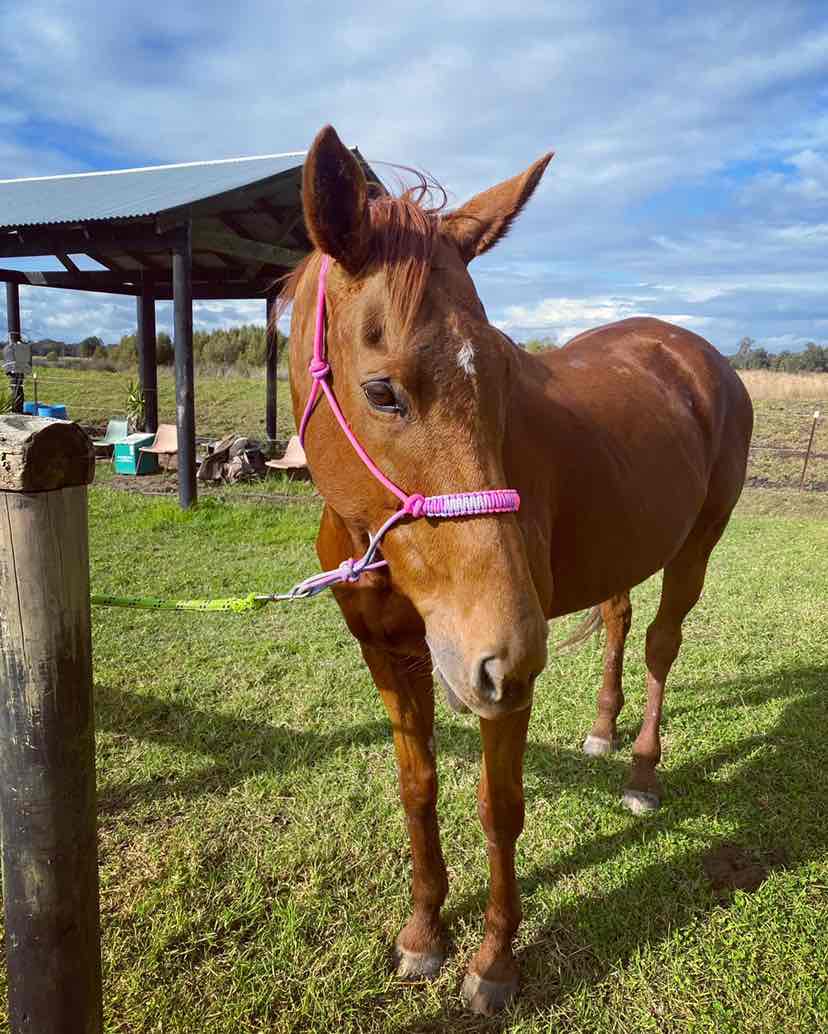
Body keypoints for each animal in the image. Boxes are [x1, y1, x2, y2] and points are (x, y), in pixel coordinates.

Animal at [280, 125, 753, 1015]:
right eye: (382, 392)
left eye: (503, 372)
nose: (506, 654)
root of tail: (696, 352)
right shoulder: (391, 657)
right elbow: (419, 790)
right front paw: (424, 934)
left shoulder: (499, 682)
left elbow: (499, 809)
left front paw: (495, 962)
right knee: (618, 623)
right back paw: (602, 731)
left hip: (696, 548)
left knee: (661, 645)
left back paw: (642, 771)